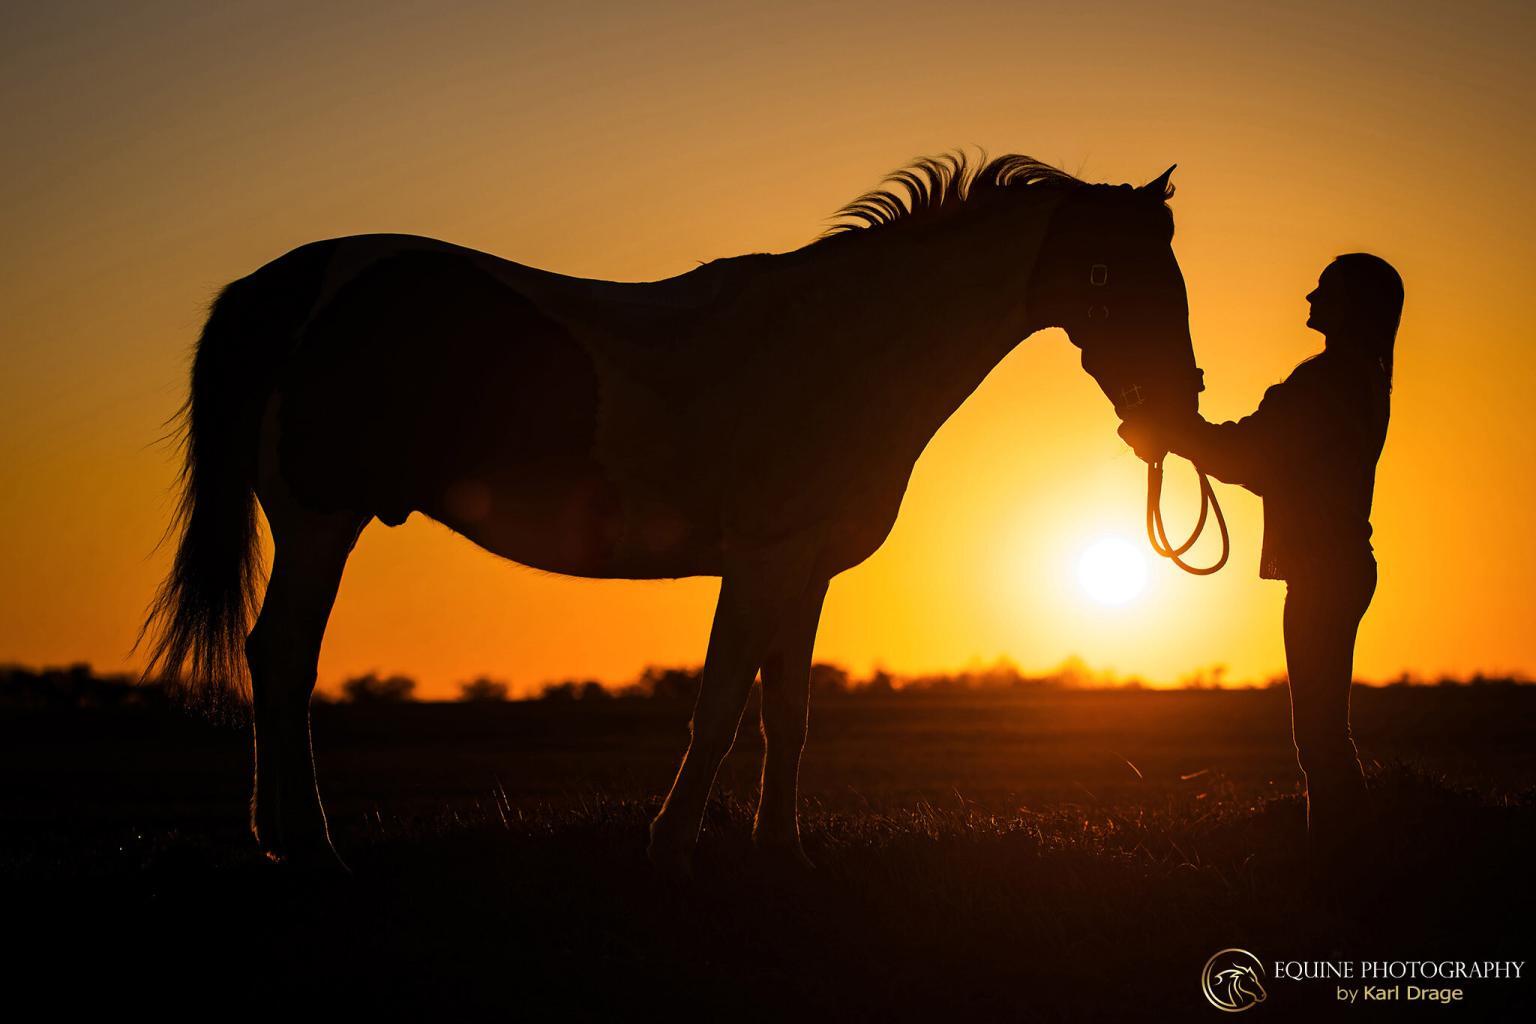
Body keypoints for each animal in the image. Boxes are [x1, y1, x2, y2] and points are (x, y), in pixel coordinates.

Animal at [139, 151, 1202, 874]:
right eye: (1118, 278)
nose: (1175, 412)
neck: (839, 350)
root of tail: (281, 285)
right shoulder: (762, 560)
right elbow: (720, 708)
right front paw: (675, 844)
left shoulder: (803, 568)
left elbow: (787, 715)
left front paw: (782, 852)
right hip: (320, 520)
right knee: (283, 657)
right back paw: (309, 845)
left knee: (275, 657)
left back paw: (285, 839)